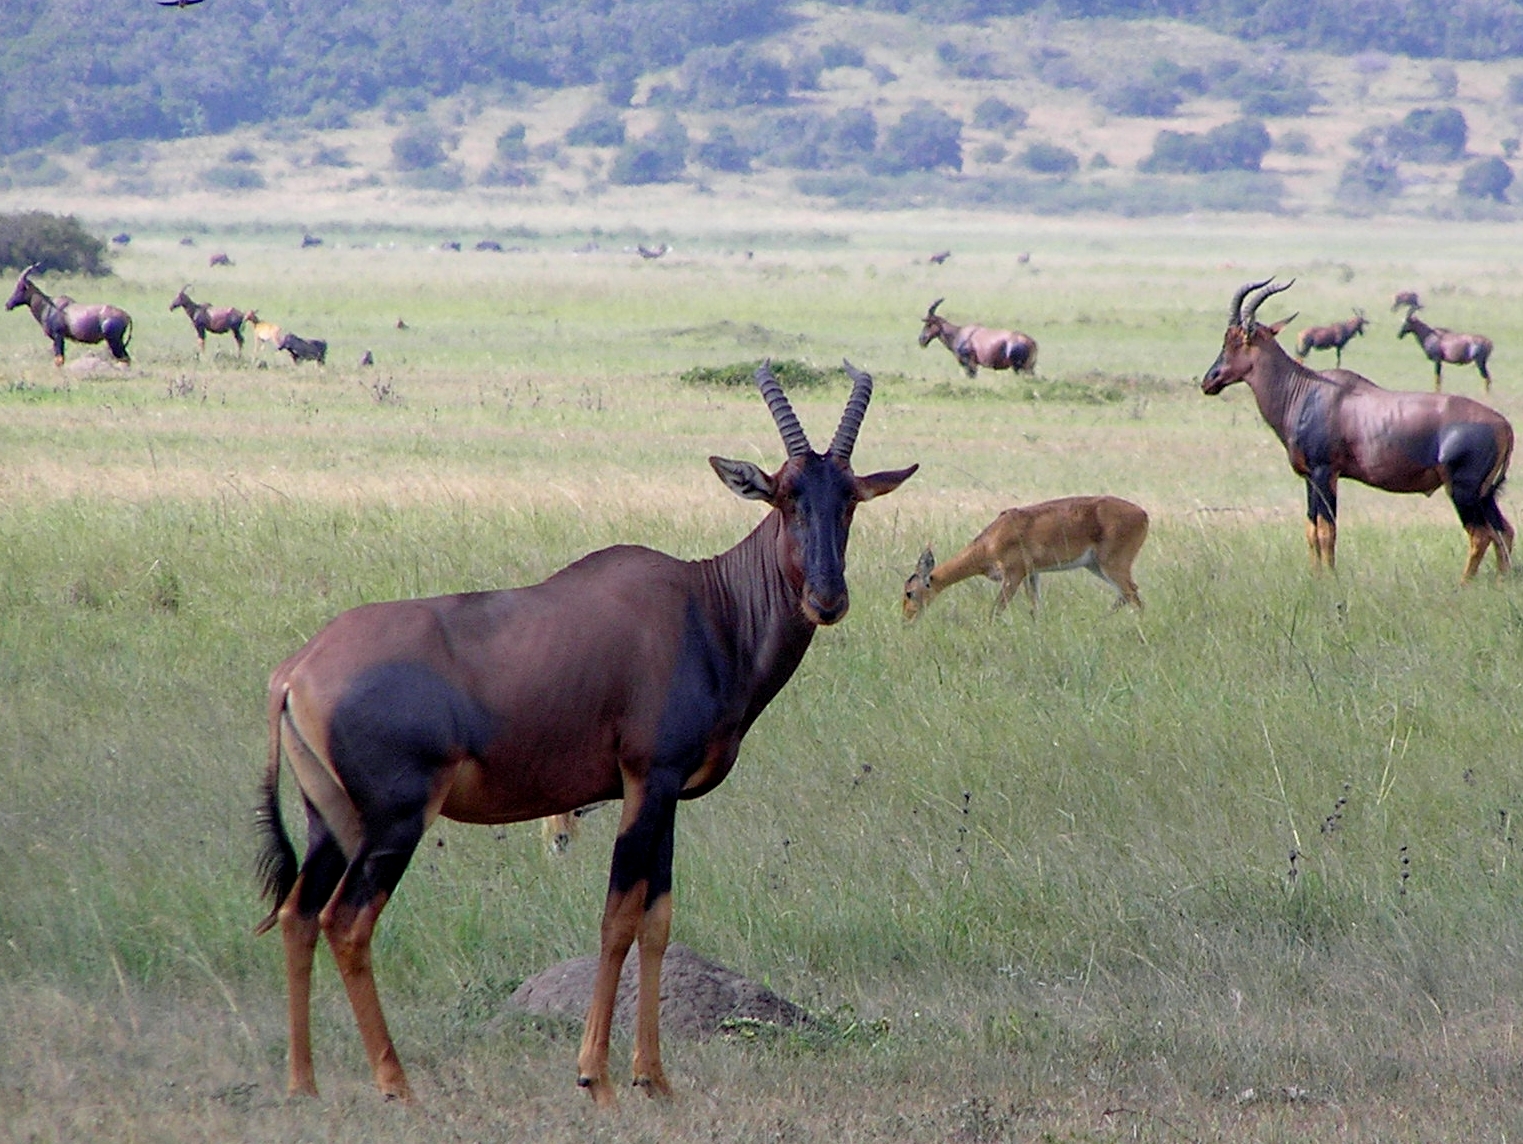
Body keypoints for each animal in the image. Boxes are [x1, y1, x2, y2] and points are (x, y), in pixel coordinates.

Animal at [255, 360, 916, 1106]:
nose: (827, 600)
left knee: (298, 914)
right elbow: (617, 919)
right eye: (782, 496)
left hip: (331, 820)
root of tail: (297, 670)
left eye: (851, 499)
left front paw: (654, 1078)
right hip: (395, 821)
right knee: (346, 922)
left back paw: (302, 1085)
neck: (706, 607)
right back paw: (397, 1085)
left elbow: (657, 920)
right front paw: (594, 1077)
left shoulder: (666, 794)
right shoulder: (645, 781)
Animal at [903, 496, 1148, 619]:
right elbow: (1035, 607)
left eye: (910, 592)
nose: (906, 619)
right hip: (1095, 565)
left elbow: (996, 610)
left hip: (1112, 563)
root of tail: (1144, 514)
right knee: (1128, 593)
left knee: (1132, 593)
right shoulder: (1033, 573)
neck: (989, 543)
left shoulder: (1013, 574)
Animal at [1203, 279, 1513, 581]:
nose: (1209, 381)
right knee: (1504, 531)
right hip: (1484, 493)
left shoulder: (1325, 472)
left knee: (1480, 535)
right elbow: (1311, 529)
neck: (1307, 391)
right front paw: (1315, 577)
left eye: (1237, 340)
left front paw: (1330, 579)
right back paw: (1501, 580)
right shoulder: (1309, 478)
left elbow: (1327, 530)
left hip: (1463, 490)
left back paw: (1463, 585)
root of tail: (1504, 425)